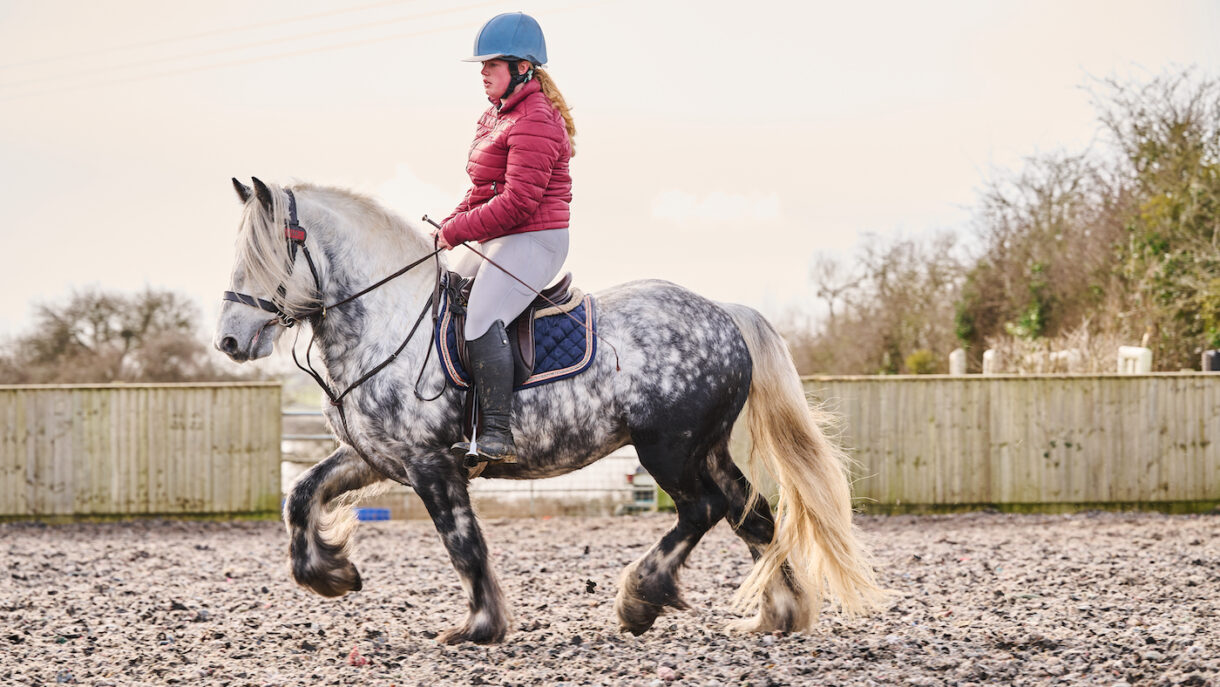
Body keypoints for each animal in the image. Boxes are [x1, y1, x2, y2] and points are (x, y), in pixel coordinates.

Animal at [214, 177, 884, 644]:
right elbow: (301, 495)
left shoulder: (432, 464)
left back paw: (640, 598)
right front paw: (331, 574)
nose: (229, 340)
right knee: (754, 513)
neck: (388, 320)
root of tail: (724, 312)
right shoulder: (378, 457)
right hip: (706, 447)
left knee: (705, 509)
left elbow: (463, 543)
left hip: (666, 449)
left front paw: (479, 628)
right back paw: (781, 613)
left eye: (266, 256)